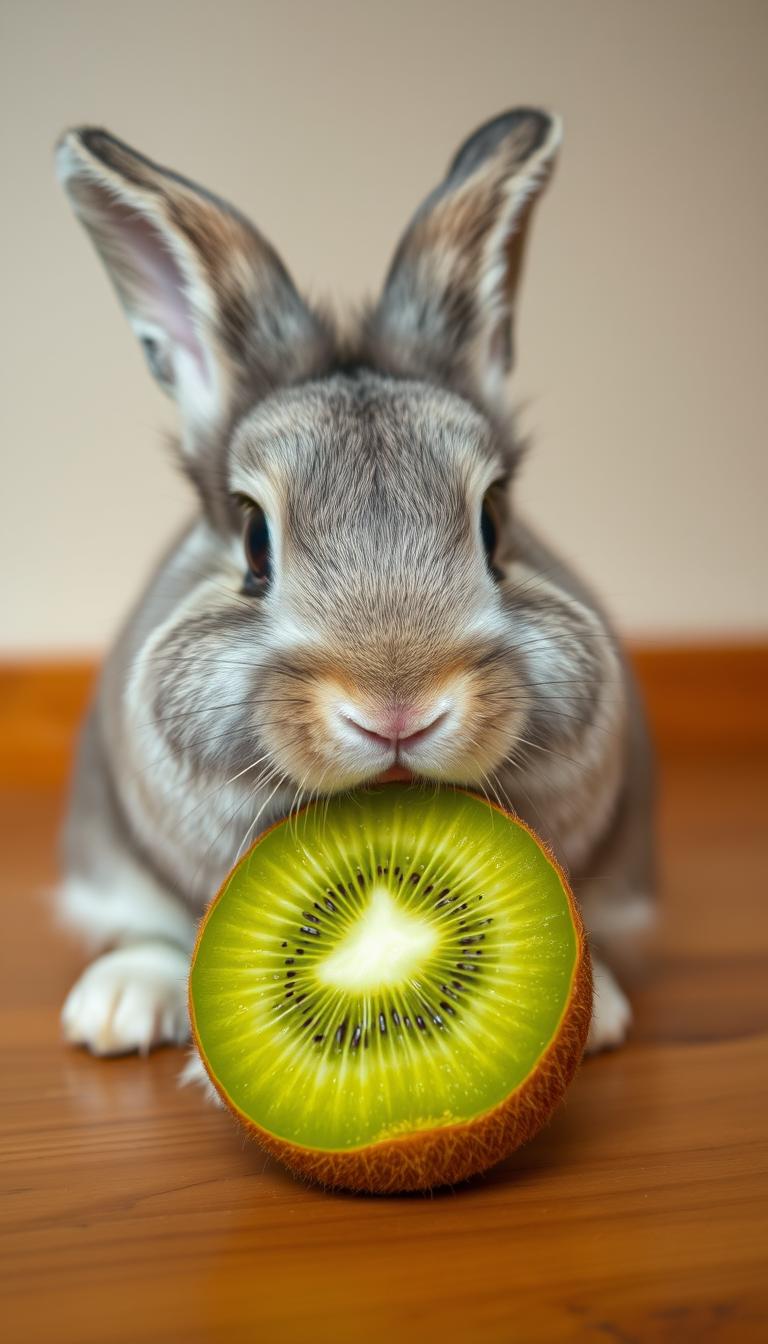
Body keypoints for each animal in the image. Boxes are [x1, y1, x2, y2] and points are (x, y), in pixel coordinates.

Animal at [55, 108, 655, 1066]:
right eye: (255, 540)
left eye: (494, 524)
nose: (396, 706)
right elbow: (149, 924)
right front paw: (115, 1009)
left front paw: (596, 1016)